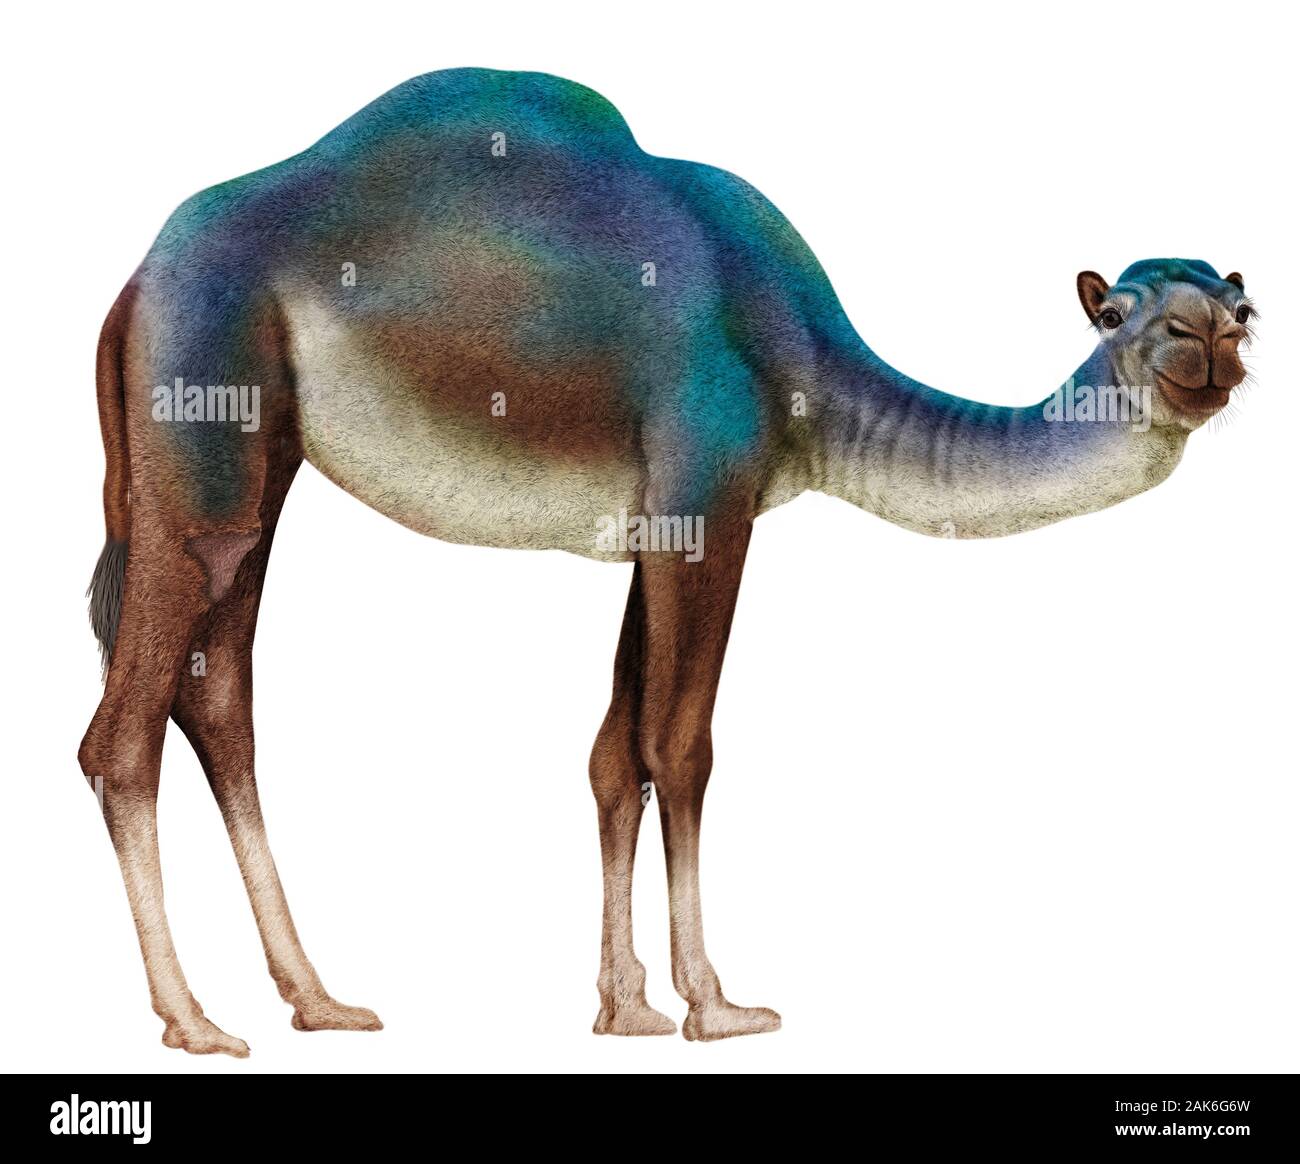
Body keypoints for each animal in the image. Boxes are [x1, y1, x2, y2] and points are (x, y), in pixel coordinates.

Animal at [81, 69, 1253, 1055]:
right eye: (1118, 311)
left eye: (1241, 307)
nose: (1204, 342)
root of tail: (136, 283)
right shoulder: (709, 498)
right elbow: (680, 746)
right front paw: (714, 1004)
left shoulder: (652, 527)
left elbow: (613, 752)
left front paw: (625, 1003)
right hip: (202, 392)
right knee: (124, 730)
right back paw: (193, 1019)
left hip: (255, 454)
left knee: (220, 694)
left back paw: (315, 998)